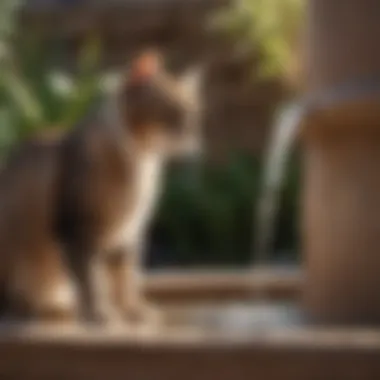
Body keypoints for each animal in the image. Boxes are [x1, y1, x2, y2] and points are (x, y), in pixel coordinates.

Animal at [0, 51, 203, 324]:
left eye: (195, 114)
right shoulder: (77, 230)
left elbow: (125, 279)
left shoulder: (128, 233)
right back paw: (49, 308)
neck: (140, 163)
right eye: (172, 112)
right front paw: (99, 314)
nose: (193, 134)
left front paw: (133, 310)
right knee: (15, 301)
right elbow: (91, 280)